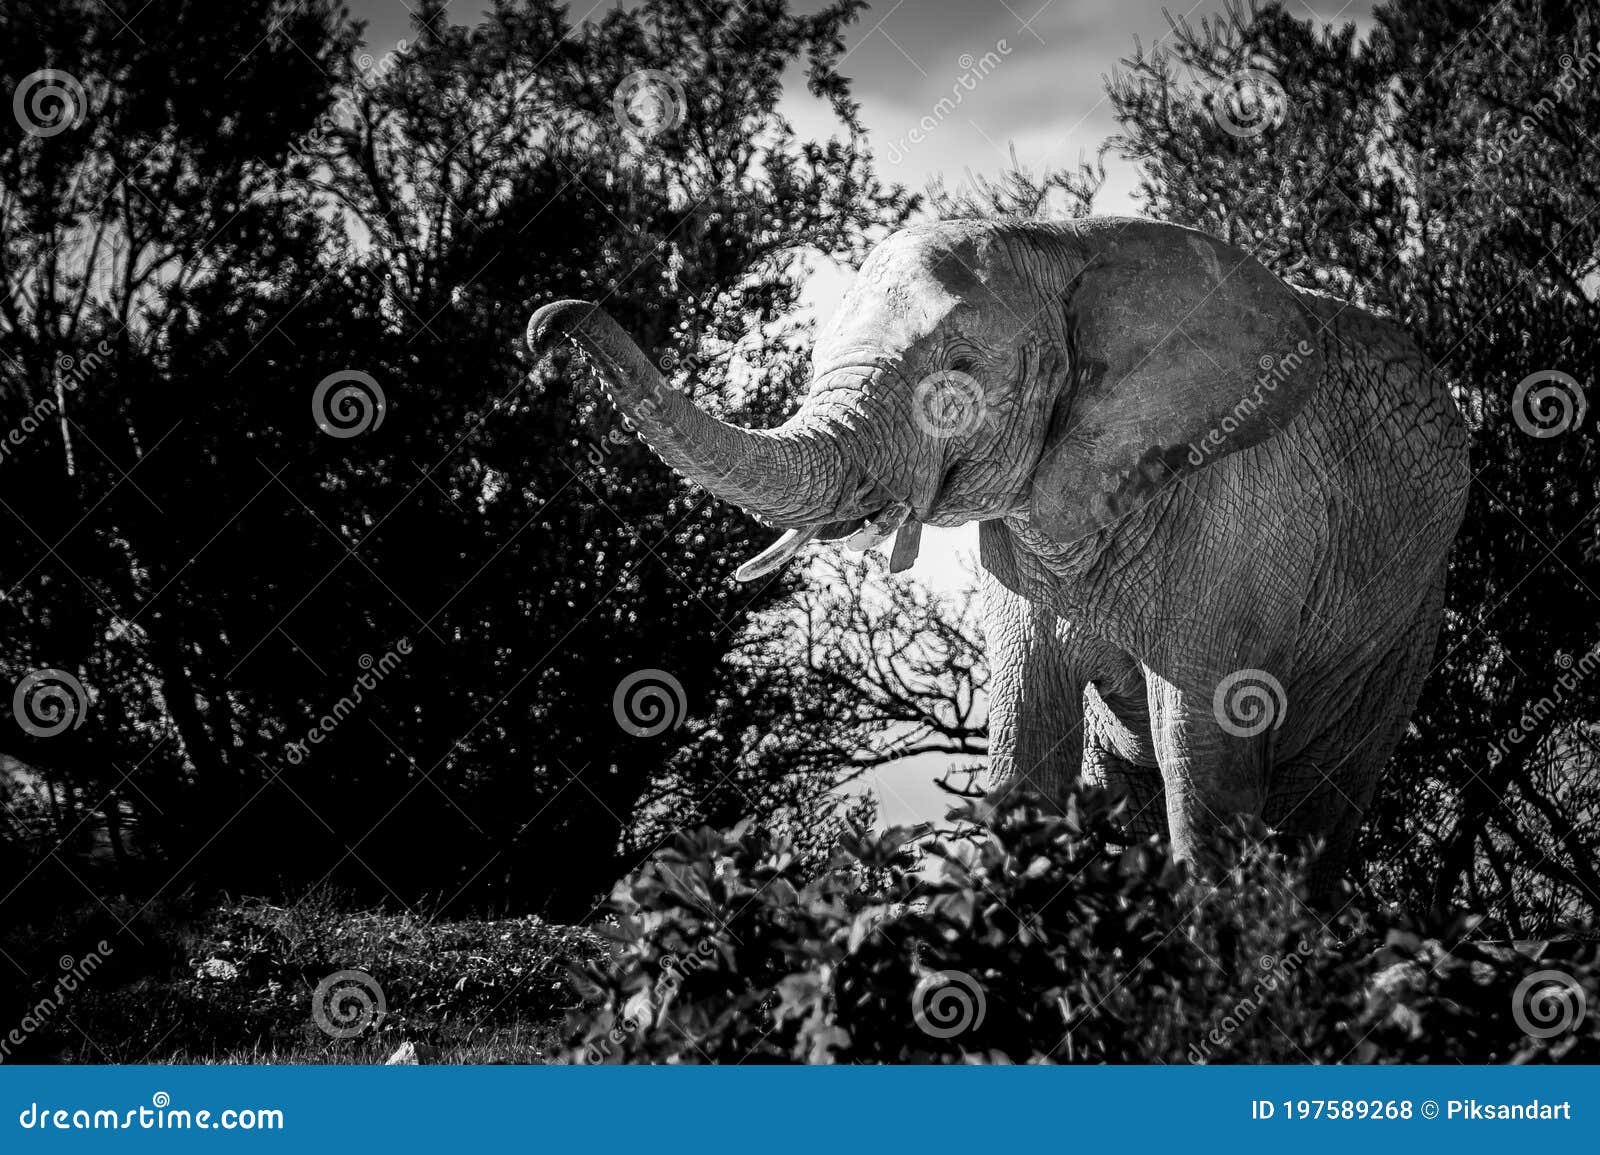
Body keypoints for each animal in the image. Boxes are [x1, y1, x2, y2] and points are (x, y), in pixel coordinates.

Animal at [528, 216, 1470, 888]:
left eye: (959, 370)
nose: (546, 323)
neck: (1061, 243)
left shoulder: (1242, 510)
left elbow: (1202, 757)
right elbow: (1025, 734)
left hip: (1406, 618)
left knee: (1321, 801)